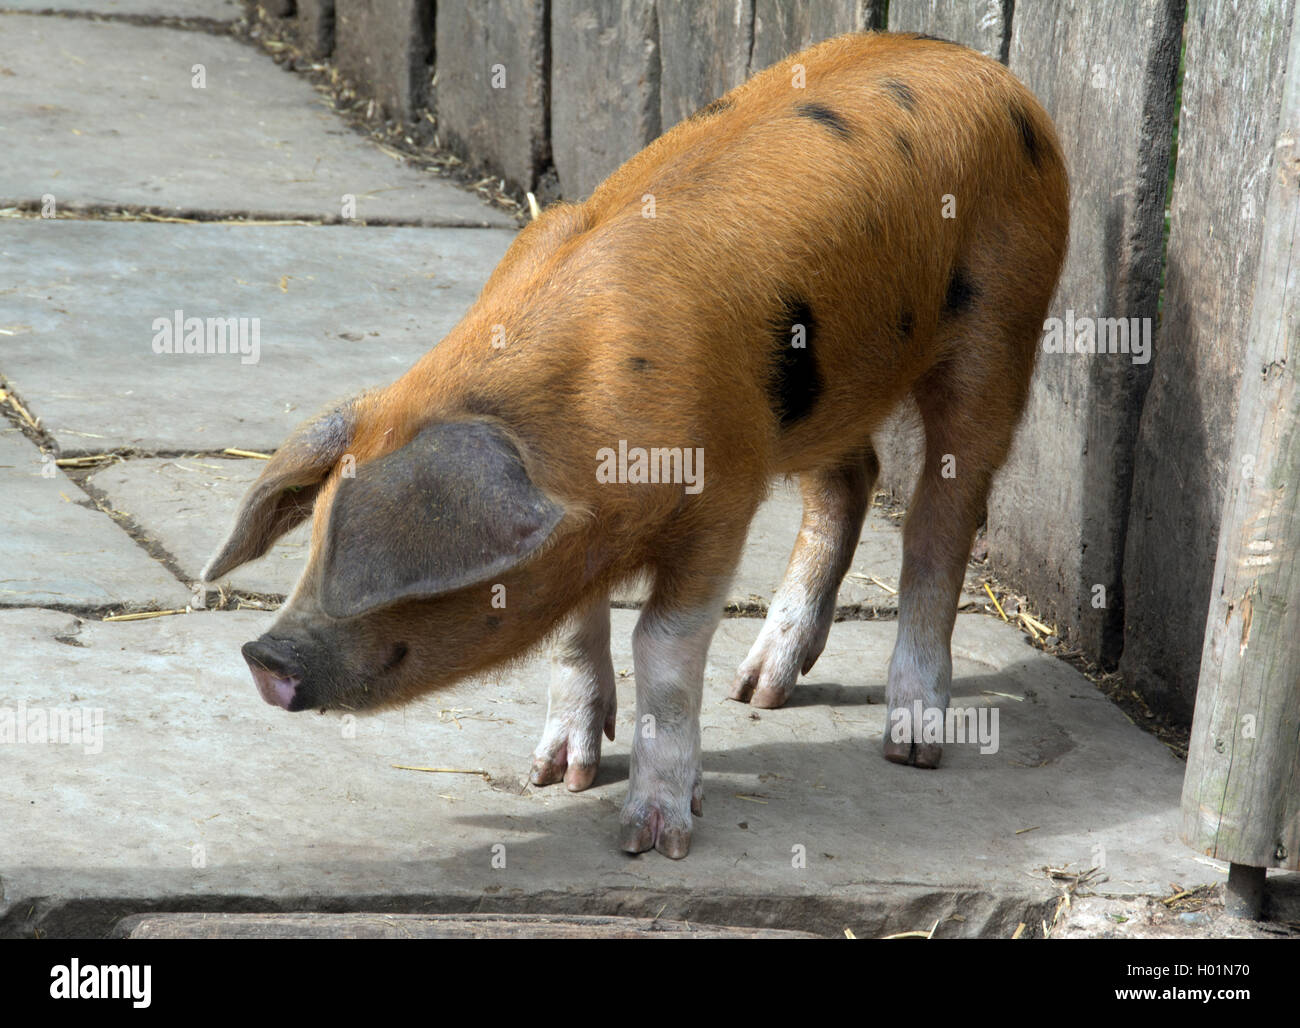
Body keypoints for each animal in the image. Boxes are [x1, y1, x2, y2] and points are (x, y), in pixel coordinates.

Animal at [203, 32, 1069, 858]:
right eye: (314, 535)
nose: (262, 655)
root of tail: (995, 74)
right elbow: (574, 632)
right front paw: (557, 777)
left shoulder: (722, 498)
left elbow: (662, 647)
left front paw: (652, 839)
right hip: (831, 385)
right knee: (850, 481)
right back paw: (758, 690)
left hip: (1003, 325)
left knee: (943, 519)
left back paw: (911, 745)